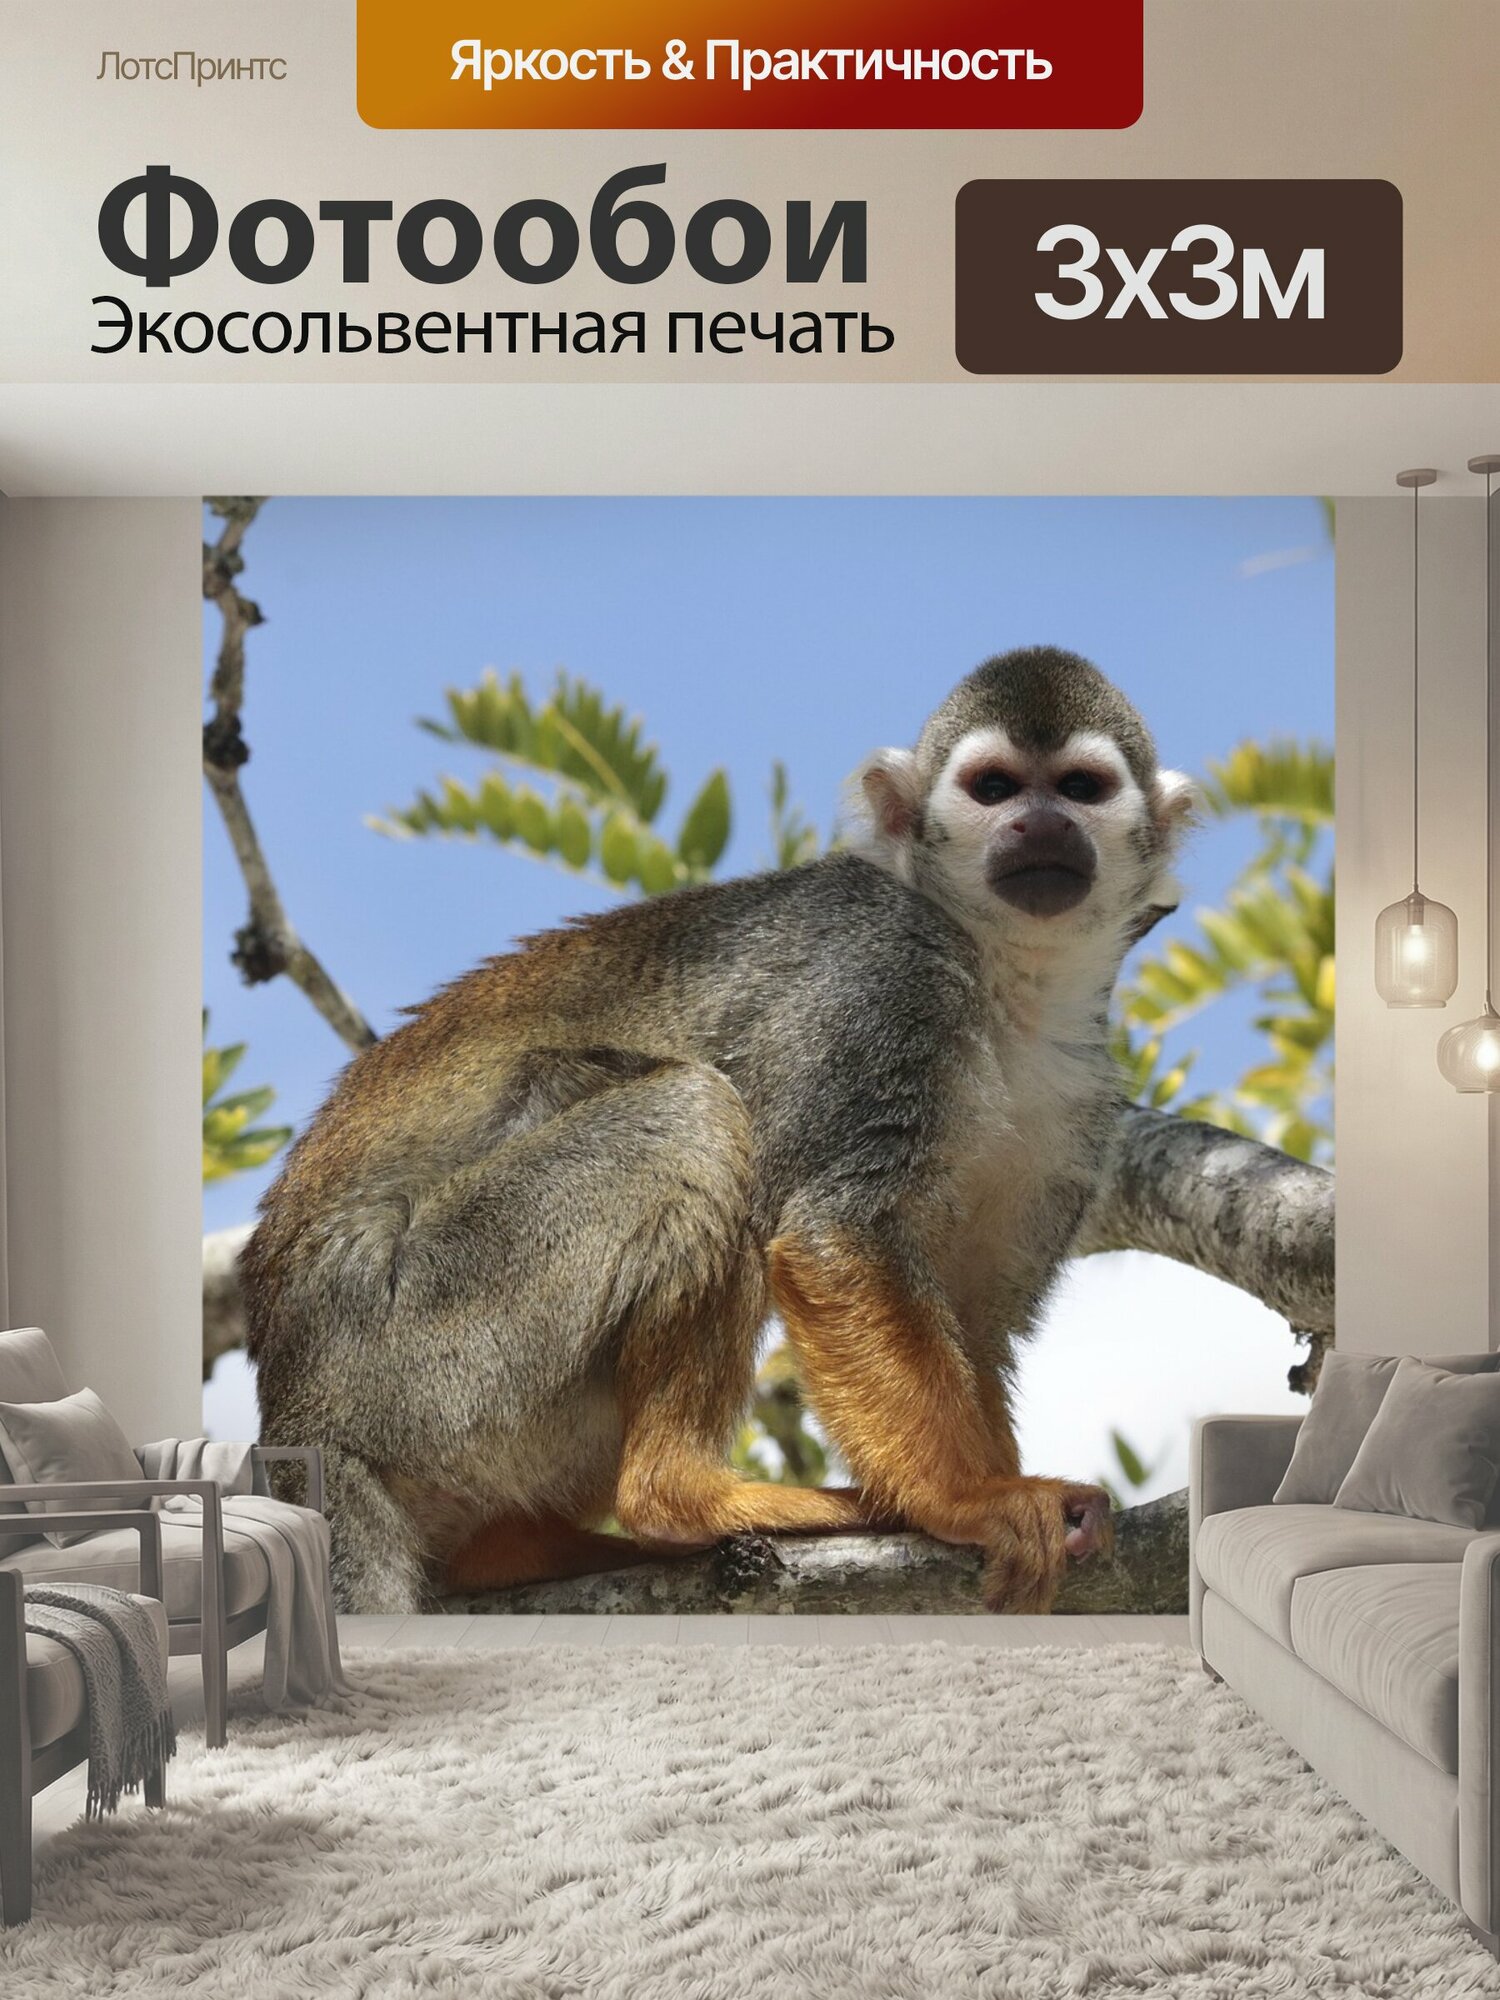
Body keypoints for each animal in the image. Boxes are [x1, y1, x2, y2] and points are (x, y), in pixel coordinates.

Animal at [242, 646, 1196, 1616]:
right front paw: (967, 1499)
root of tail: (298, 1413)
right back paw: (681, 1499)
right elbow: (831, 1236)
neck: (1005, 974)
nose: (1040, 824)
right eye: (994, 787)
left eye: (1079, 788)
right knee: (696, 1116)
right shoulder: (881, 980)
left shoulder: (1080, 1096)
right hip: (415, 1350)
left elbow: (974, 1310)